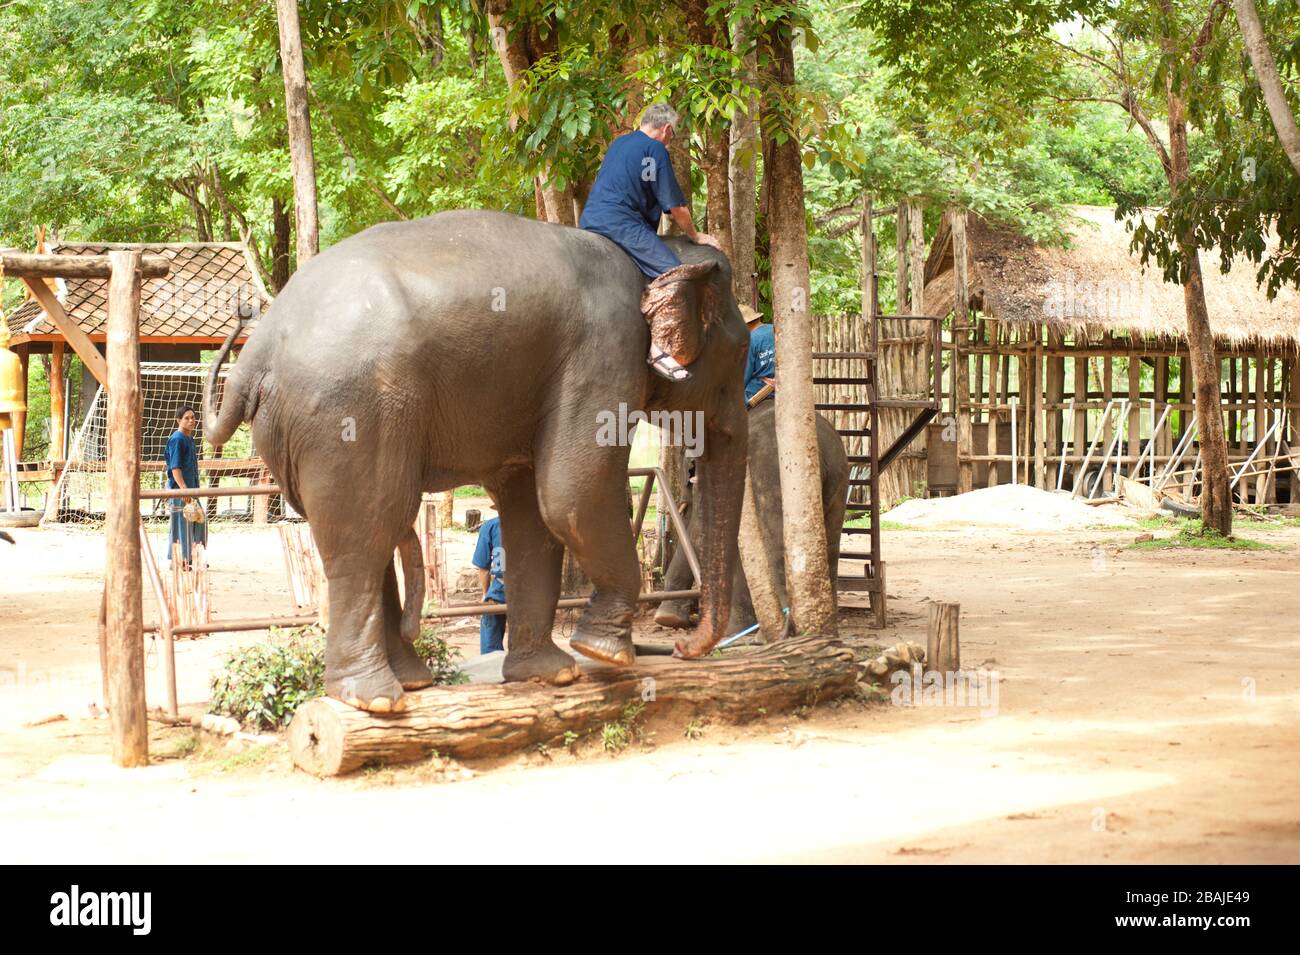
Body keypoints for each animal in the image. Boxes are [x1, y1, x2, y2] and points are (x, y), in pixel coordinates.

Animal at [204, 210, 750, 711]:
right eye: (742, 351)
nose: (683, 647)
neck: (657, 255)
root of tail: (257, 350)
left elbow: (531, 508)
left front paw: (551, 675)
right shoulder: (604, 355)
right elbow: (573, 492)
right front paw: (606, 653)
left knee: (374, 530)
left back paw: (411, 682)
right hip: (348, 411)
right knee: (365, 535)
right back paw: (376, 699)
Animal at [655, 401, 849, 635]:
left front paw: (669, 619)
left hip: (770, 476)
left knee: (775, 545)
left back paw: (778, 635)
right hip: (839, 479)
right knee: (829, 544)